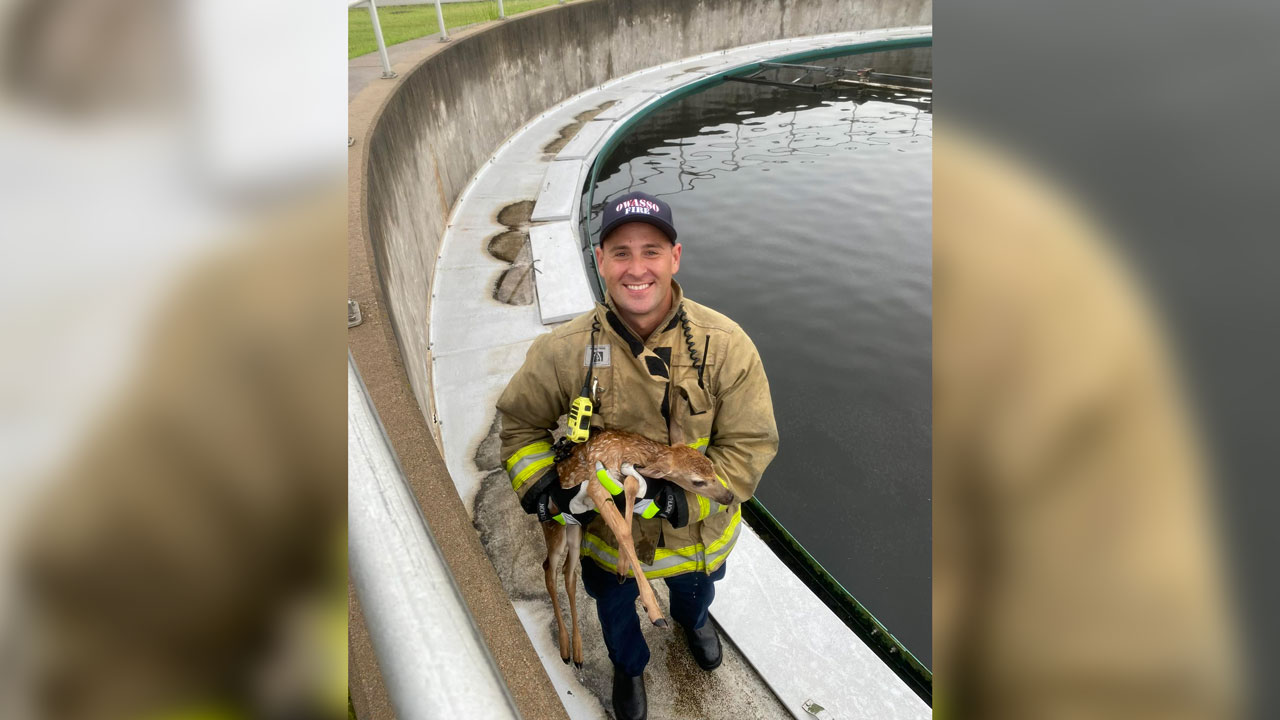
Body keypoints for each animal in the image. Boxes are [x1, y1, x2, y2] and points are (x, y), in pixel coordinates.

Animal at [540, 392, 735, 667]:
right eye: (697, 481)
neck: (627, 450)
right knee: (549, 567)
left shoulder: (624, 479)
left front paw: (622, 569)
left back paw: (576, 653)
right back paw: (565, 649)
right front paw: (654, 612)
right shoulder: (596, 481)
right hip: (554, 524)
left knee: (569, 573)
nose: (729, 496)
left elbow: (630, 499)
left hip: (575, 530)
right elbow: (623, 530)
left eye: (711, 465)